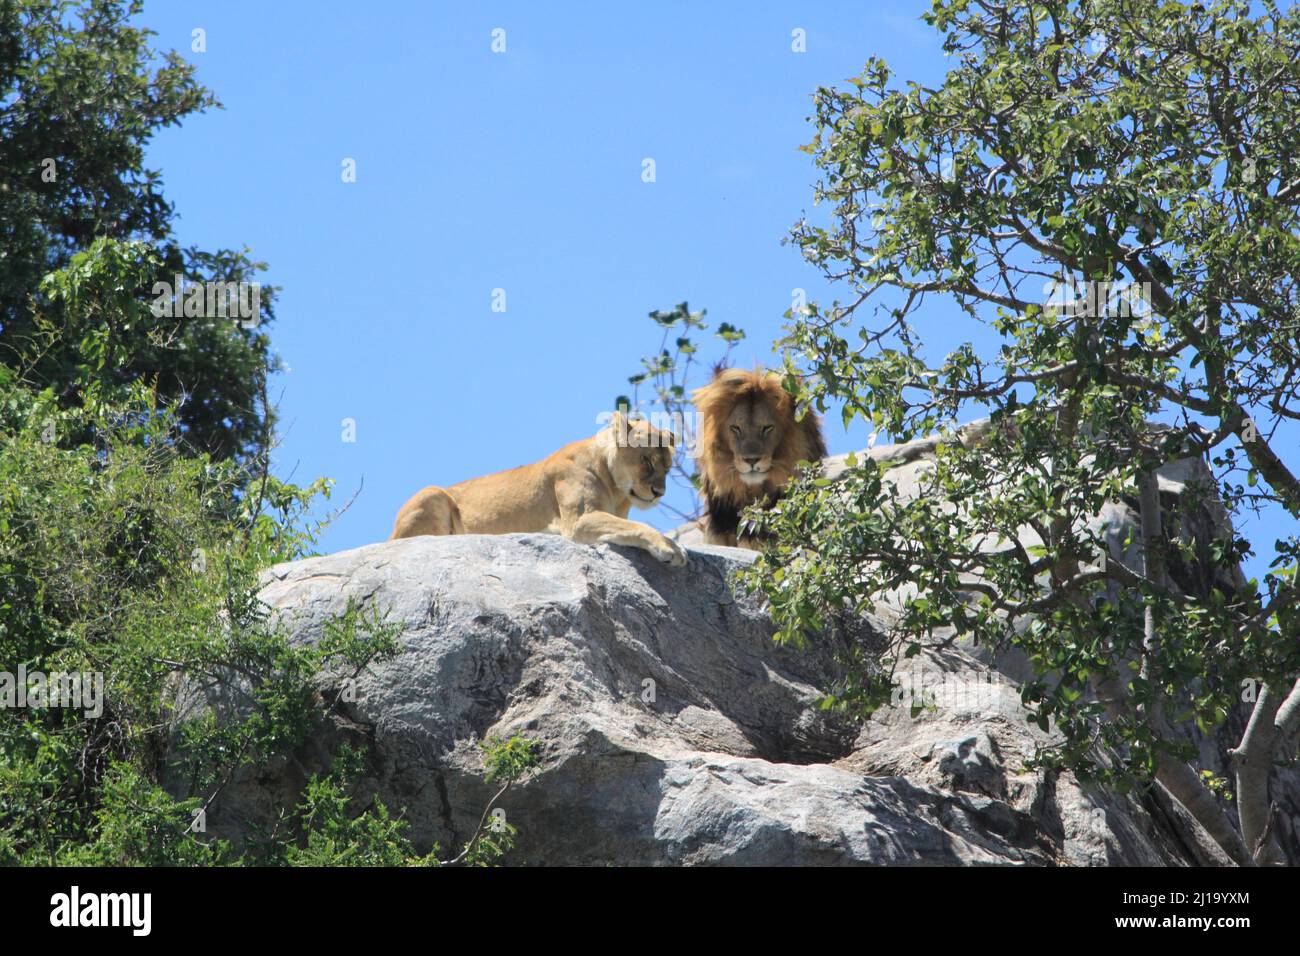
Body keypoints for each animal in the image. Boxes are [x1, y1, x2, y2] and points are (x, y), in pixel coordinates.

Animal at [389, 413, 687, 566]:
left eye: (668, 467)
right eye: (647, 461)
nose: (659, 492)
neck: (617, 490)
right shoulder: (578, 520)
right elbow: (637, 527)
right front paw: (670, 548)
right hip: (431, 493)